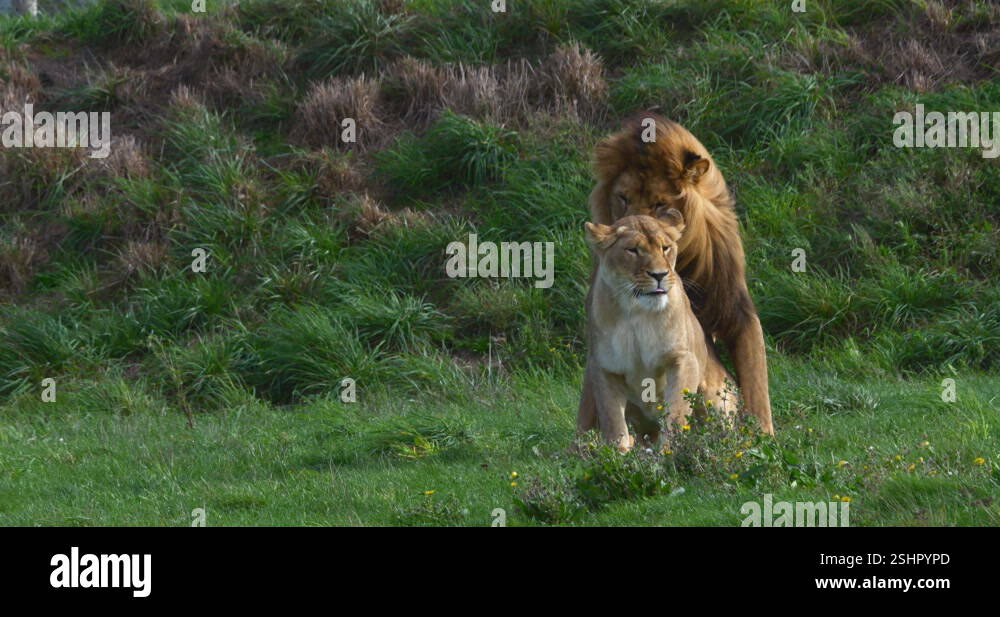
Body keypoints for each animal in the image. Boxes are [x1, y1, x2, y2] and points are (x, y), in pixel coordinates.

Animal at [579, 211, 738, 452]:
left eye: (665, 248)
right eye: (632, 250)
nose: (659, 274)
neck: (636, 314)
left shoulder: (683, 359)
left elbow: (677, 412)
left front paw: (668, 452)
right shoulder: (604, 367)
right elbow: (613, 420)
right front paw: (618, 454)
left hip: (718, 398)